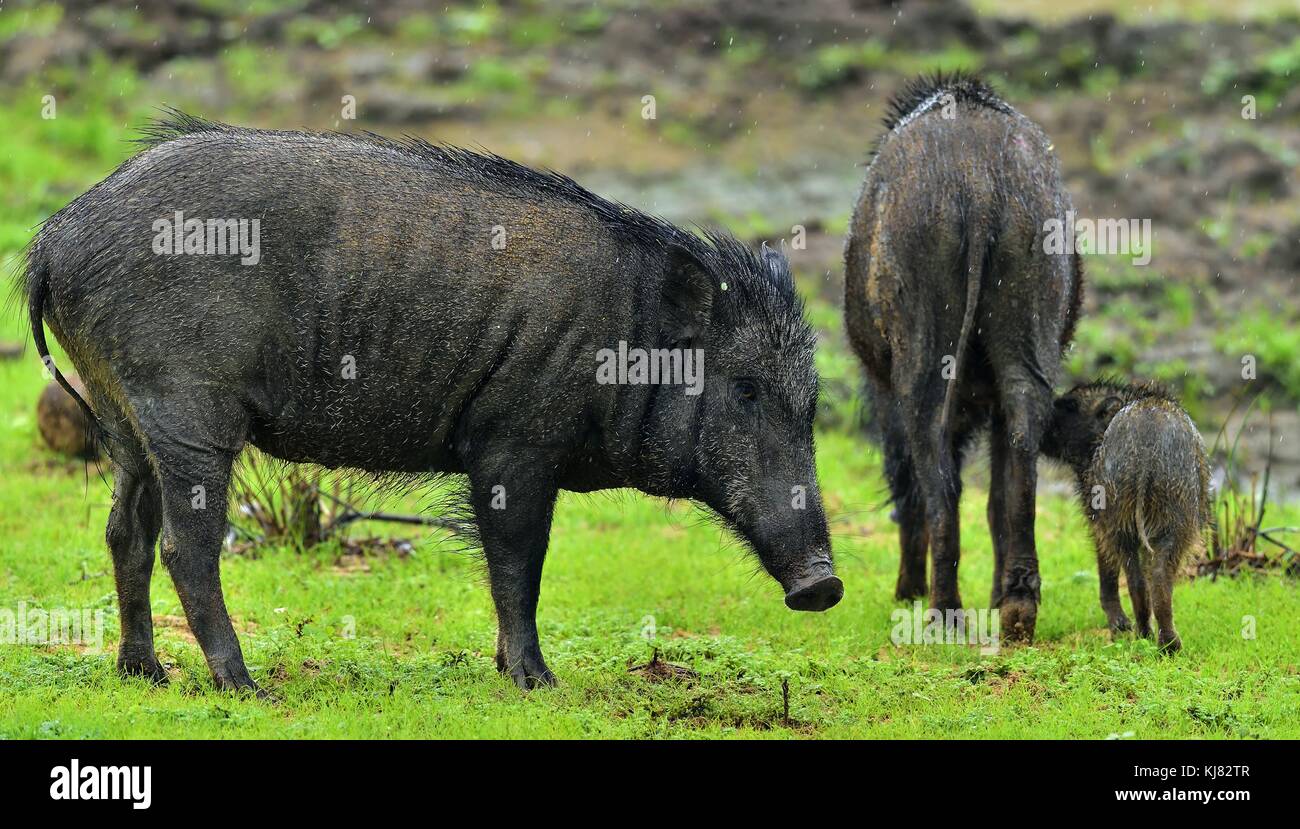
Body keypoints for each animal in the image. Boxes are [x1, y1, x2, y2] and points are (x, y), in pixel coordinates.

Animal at [22, 111, 841, 692]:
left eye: (810, 403)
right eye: (745, 388)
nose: (825, 584)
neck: (624, 334)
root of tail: (54, 241)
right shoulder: (514, 441)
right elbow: (519, 559)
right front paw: (538, 682)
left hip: (121, 412)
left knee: (123, 531)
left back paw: (146, 674)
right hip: (187, 410)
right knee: (184, 545)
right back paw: (243, 686)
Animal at [844, 73, 1082, 640]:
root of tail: (976, 183)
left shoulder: (881, 388)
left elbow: (905, 480)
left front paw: (905, 593)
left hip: (922, 348)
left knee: (932, 471)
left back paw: (940, 612)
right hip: (1027, 325)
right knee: (1020, 446)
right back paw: (1015, 610)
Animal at [1041, 380, 1210, 652]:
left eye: (1070, 405)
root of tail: (1146, 451)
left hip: (1122, 522)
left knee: (1137, 580)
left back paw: (1144, 634)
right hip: (1173, 523)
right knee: (1159, 576)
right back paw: (1169, 644)